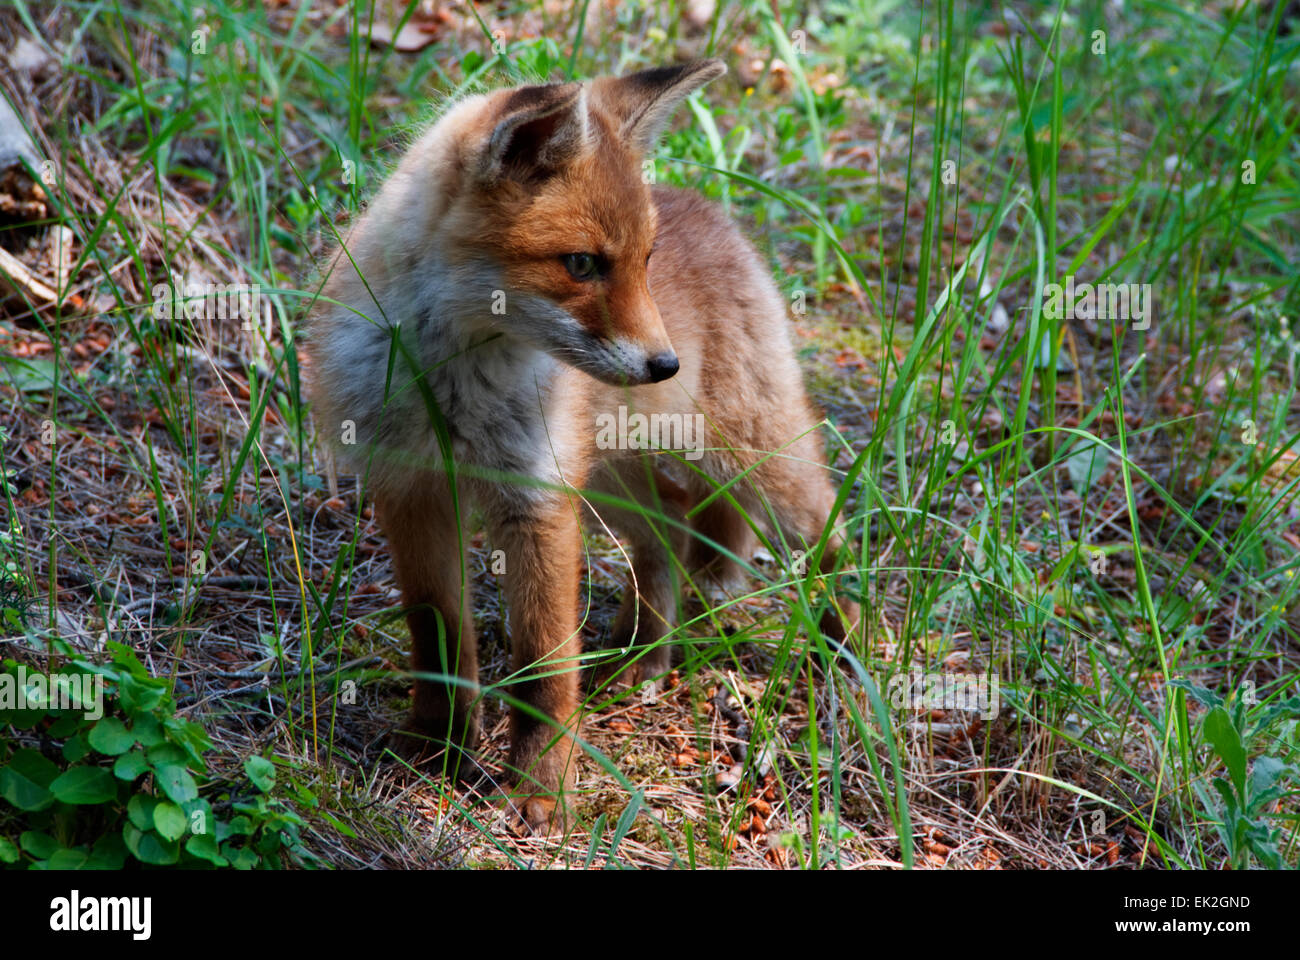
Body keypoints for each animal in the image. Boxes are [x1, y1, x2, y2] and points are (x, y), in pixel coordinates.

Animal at [305, 59, 860, 833]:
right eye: (583, 264)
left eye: (644, 261)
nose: (664, 365)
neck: (452, 390)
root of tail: (715, 211)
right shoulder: (409, 490)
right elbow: (437, 634)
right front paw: (438, 746)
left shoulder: (537, 500)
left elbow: (544, 663)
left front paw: (541, 788)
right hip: (608, 484)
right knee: (670, 533)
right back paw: (643, 656)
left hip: (752, 463)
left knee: (831, 533)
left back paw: (849, 652)